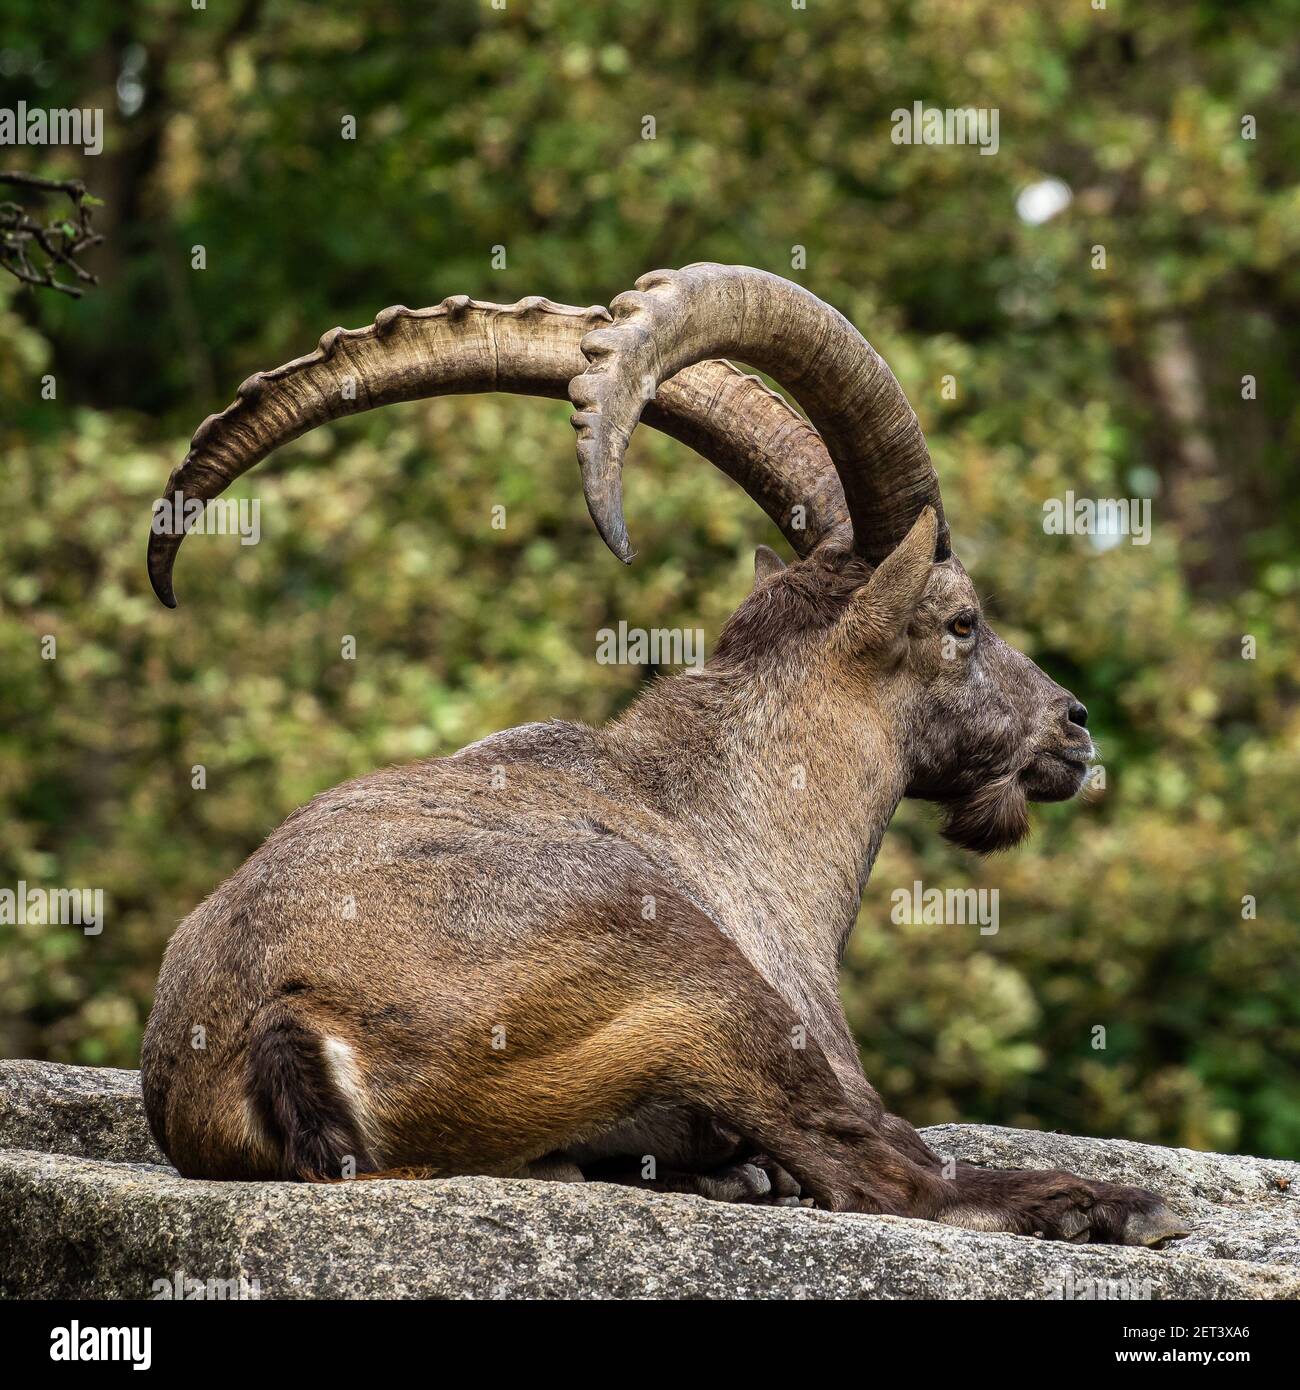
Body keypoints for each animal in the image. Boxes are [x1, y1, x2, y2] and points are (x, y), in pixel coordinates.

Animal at [140, 264, 1186, 1245]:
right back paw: (1113, 1205)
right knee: (888, 1180)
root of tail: (284, 1024)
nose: (1072, 725)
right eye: (963, 621)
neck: (739, 809)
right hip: (693, 977)